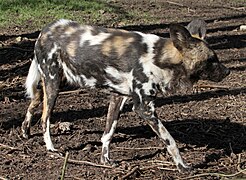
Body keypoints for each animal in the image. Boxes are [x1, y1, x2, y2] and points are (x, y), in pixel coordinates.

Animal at [22, 18, 230, 172]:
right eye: (211, 60)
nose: (227, 72)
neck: (160, 59)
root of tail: (46, 29)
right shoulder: (144, 108)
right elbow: (170, 140)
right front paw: (183, 166)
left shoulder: (119, 97)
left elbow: (108, 133)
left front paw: (105, 160)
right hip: (53, 84)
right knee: (45, 118)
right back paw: (51, 148)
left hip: (58, 82)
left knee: (34, 100)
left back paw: (25, 131)